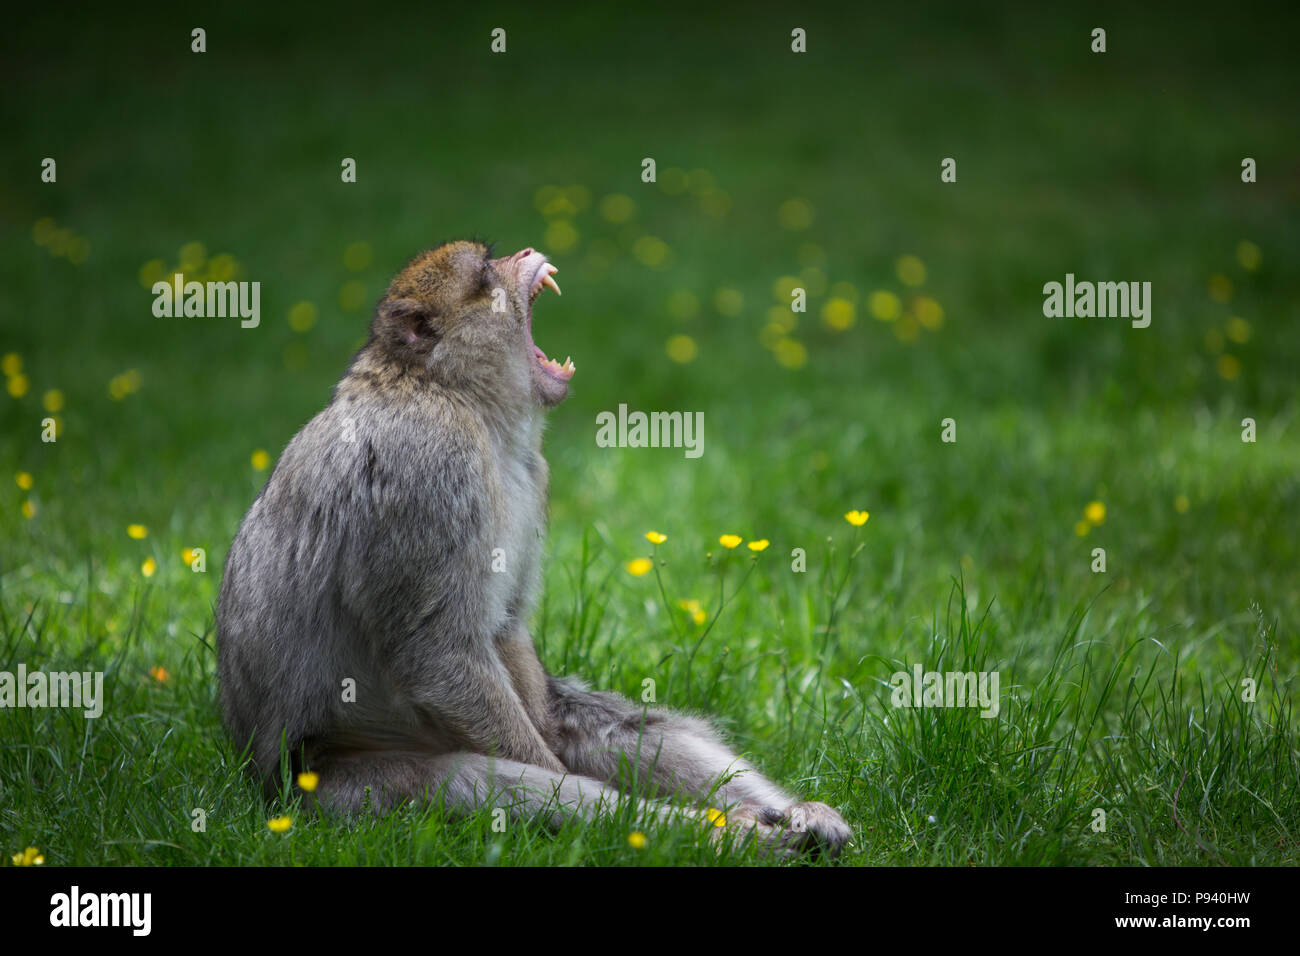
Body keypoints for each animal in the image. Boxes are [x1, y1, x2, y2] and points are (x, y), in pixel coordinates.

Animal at [216, 240, 851, 858]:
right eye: (484, 272)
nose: (521, 256)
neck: (458, 396)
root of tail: (261, 777)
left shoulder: (531, 472)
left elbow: (507, 633)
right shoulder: (430, 463)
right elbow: (436, 652)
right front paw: (562, 770)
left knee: (614, 724)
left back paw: (792, 817)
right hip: (341, 787)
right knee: (487, 784)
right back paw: (727, 834)